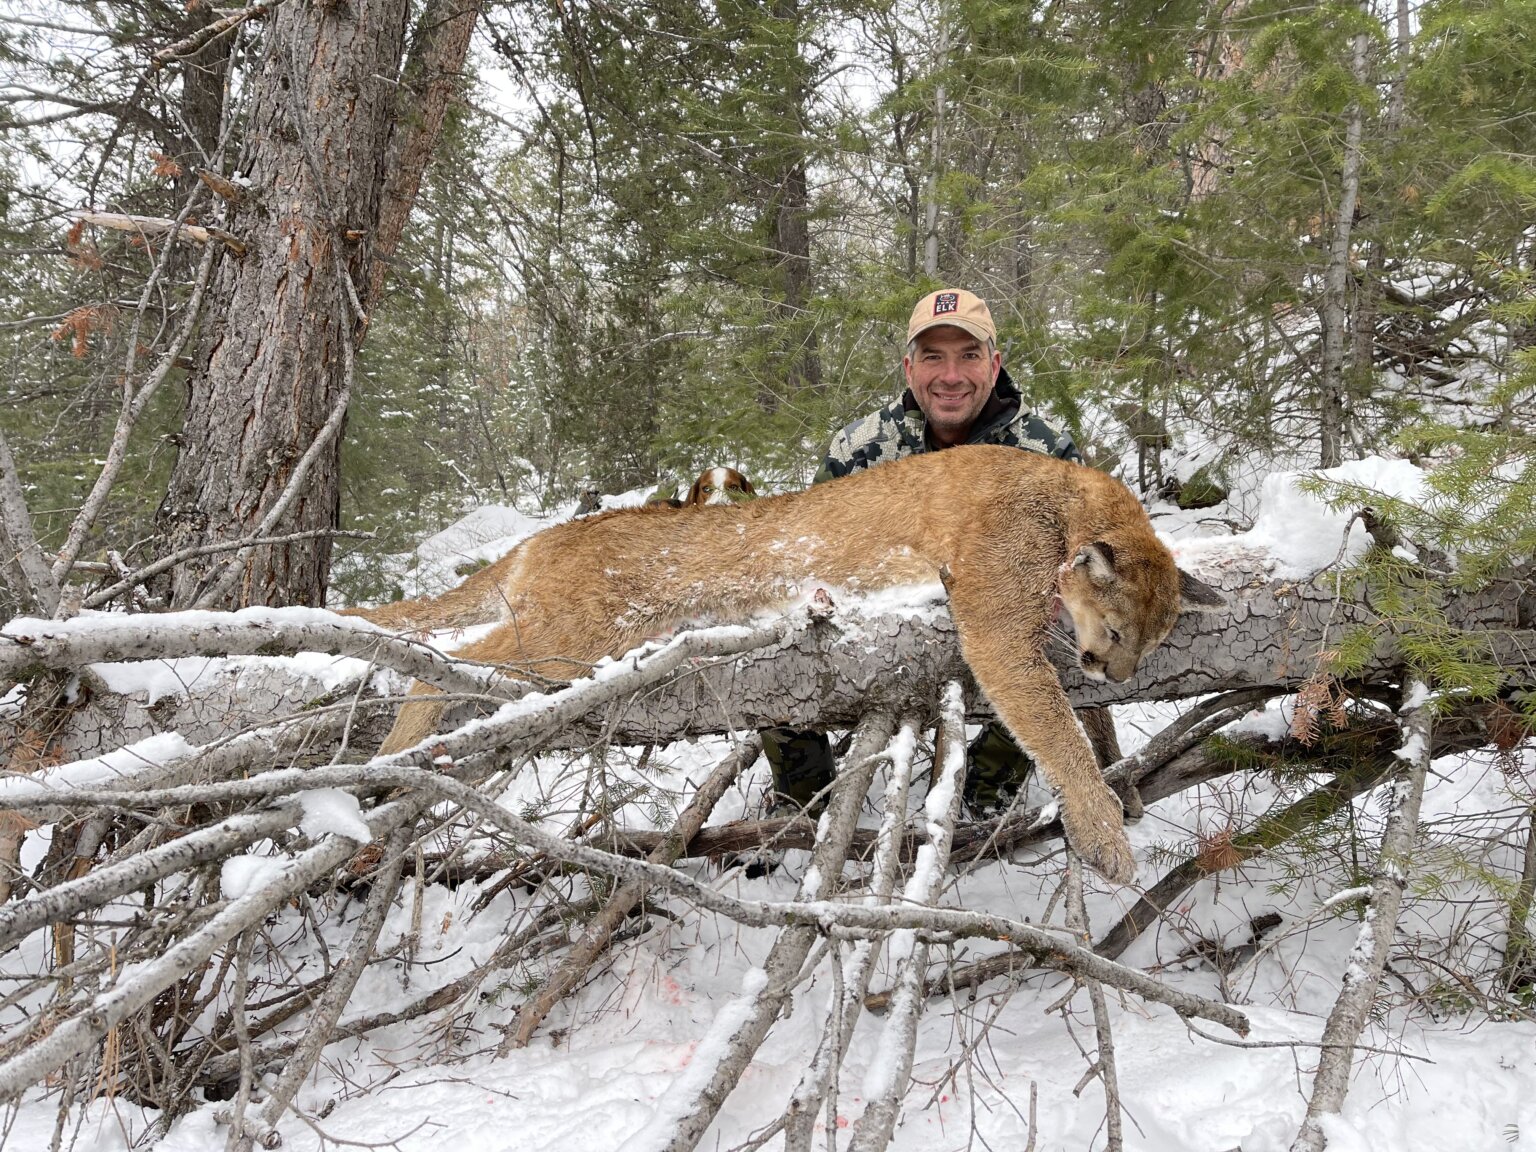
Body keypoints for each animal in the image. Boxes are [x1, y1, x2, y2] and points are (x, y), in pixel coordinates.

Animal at [345, 445, 1224, 883]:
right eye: (1118, 631)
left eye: (1149, 643)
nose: (1115, 673)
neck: (1068, 497)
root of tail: (547, 533)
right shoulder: (995, 615)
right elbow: (1054, 726)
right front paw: (1105, 835)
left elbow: (1079, 726)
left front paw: (1119, 787)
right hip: (569, 637)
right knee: (441, 660)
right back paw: (393, 754)